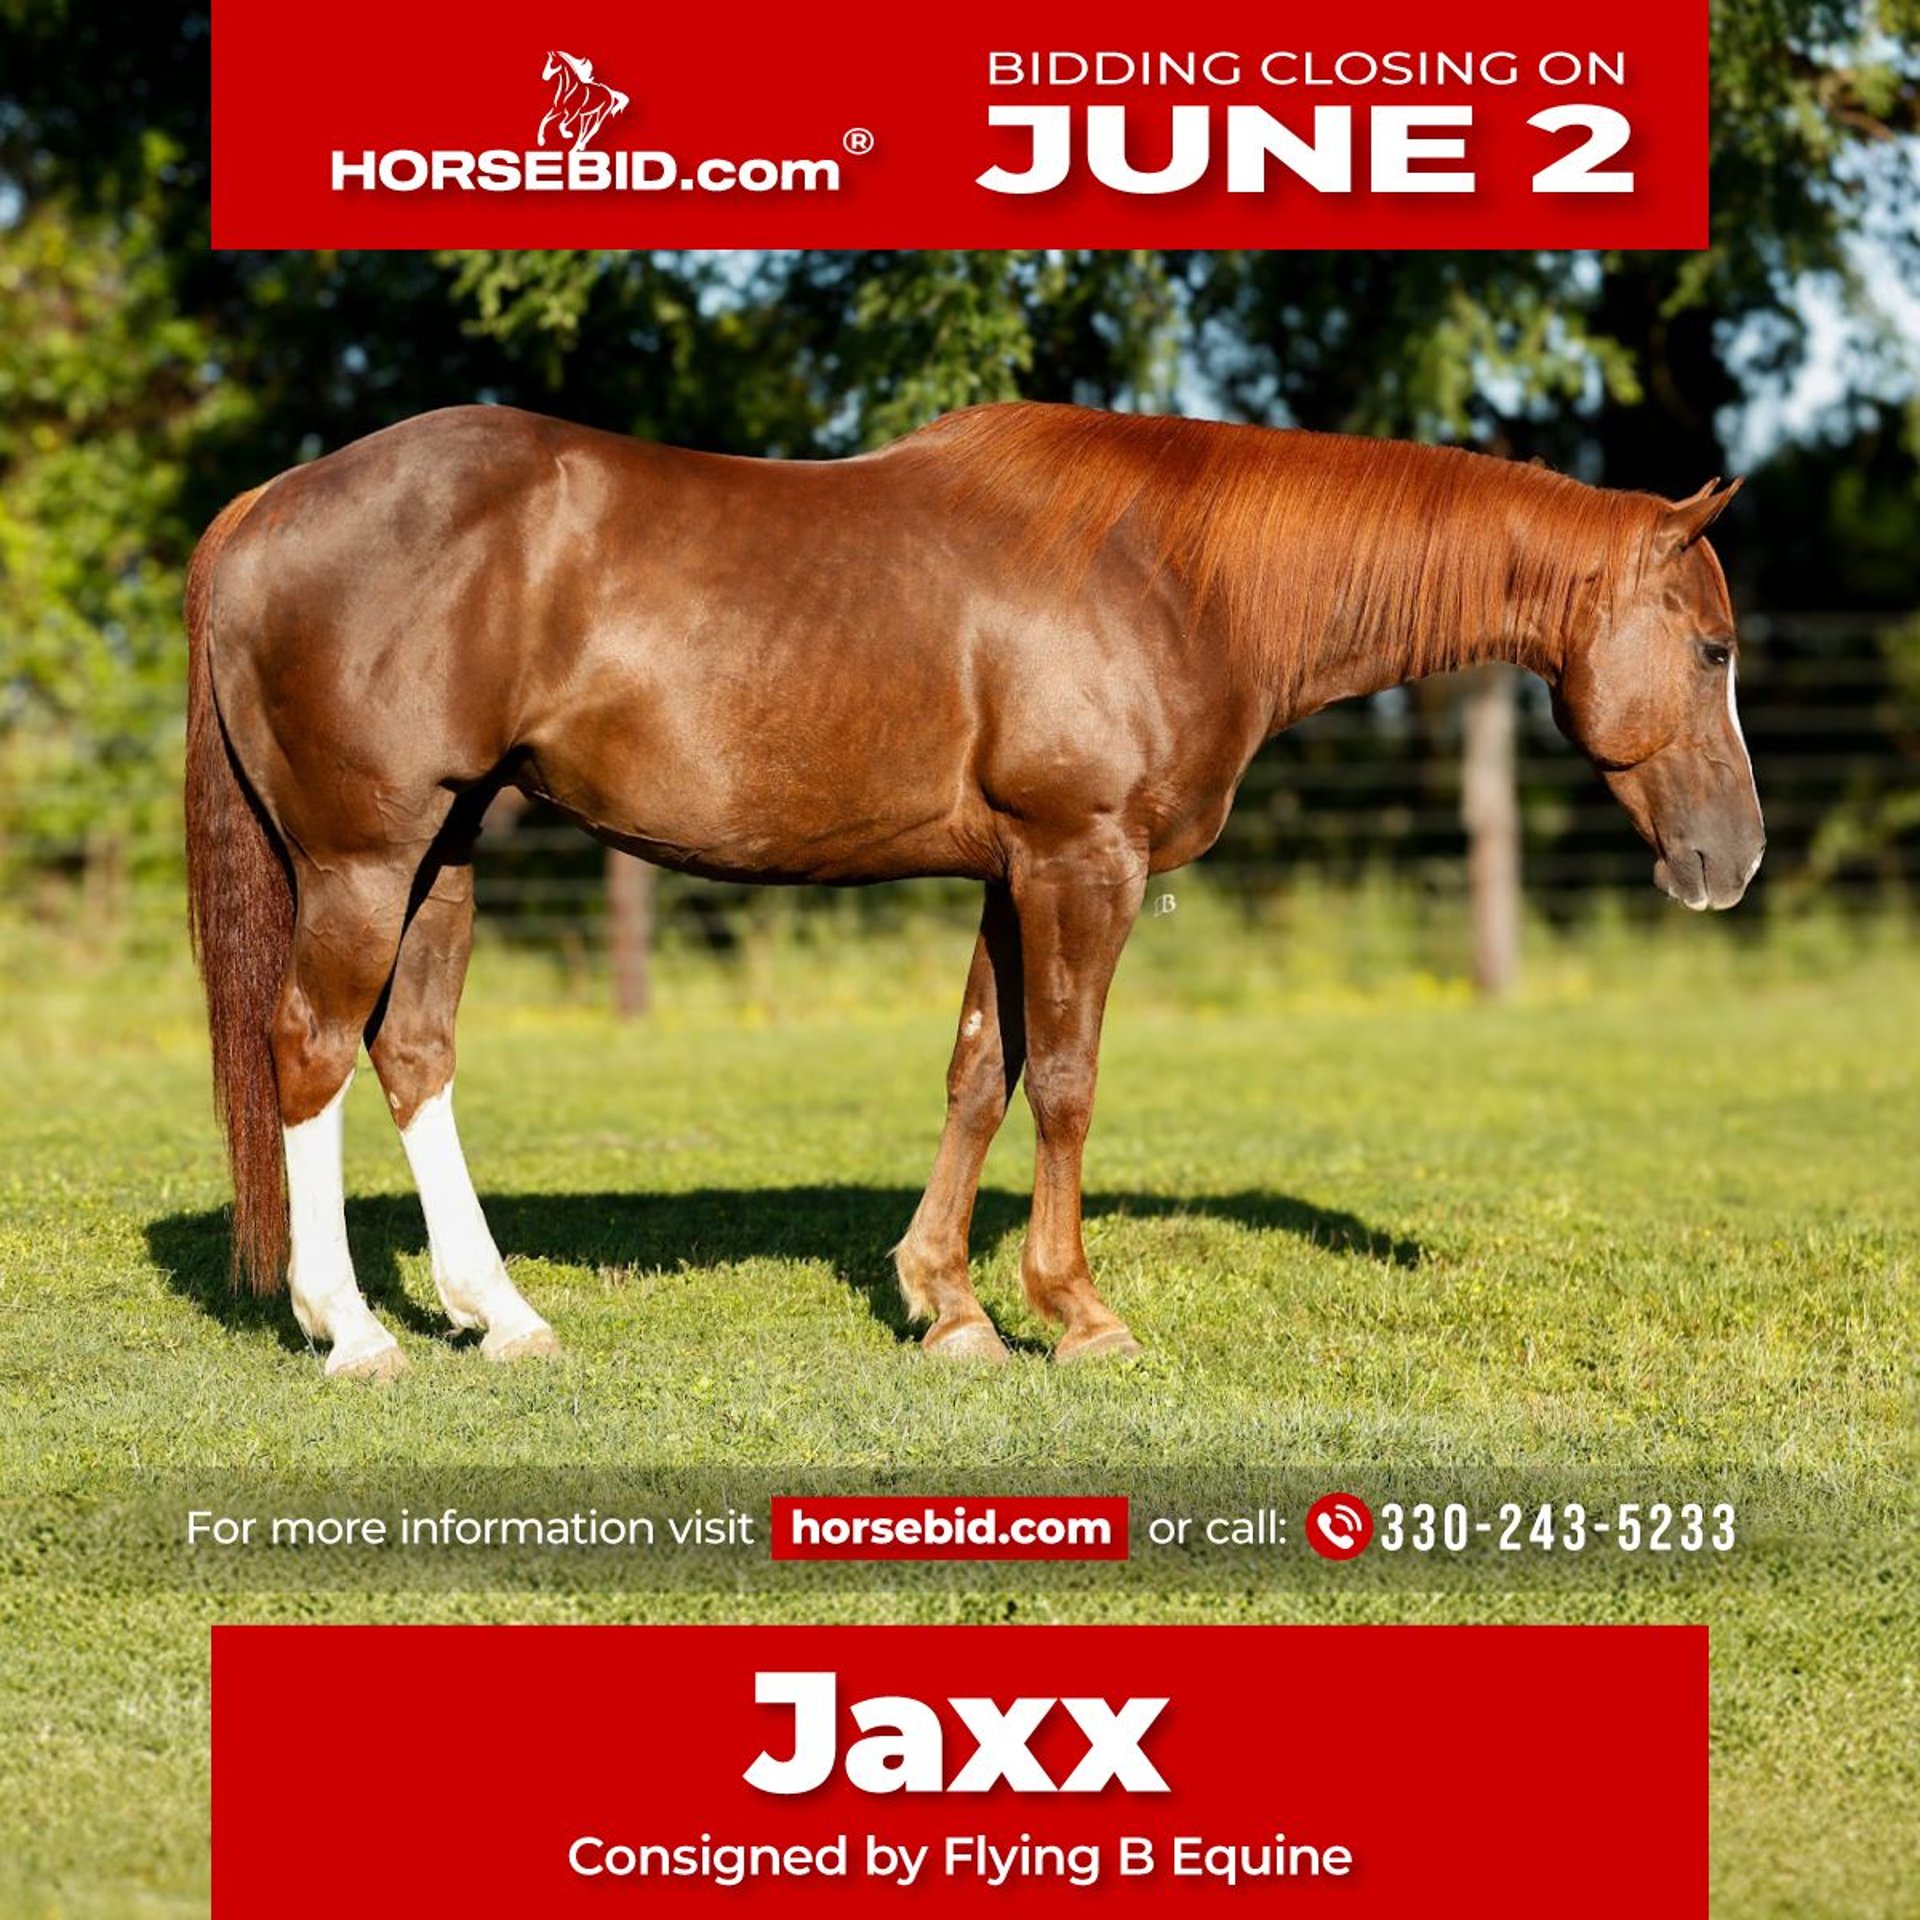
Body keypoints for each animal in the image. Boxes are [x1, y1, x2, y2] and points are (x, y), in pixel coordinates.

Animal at [183, 403, 1761, 1378]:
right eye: (1713, 651)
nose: (1732, 860)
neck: (1177, 575)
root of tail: (262, 508)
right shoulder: (1083, 859)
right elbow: (1063, 1080)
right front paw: (1075, 1312)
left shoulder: (1014, 870)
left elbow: (977, 1072)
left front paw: (946, 1307)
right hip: (364, 862)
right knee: (308, 1049)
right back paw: (352, 1330)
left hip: (443, 857)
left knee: (413, 1054)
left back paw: (497, 1314)